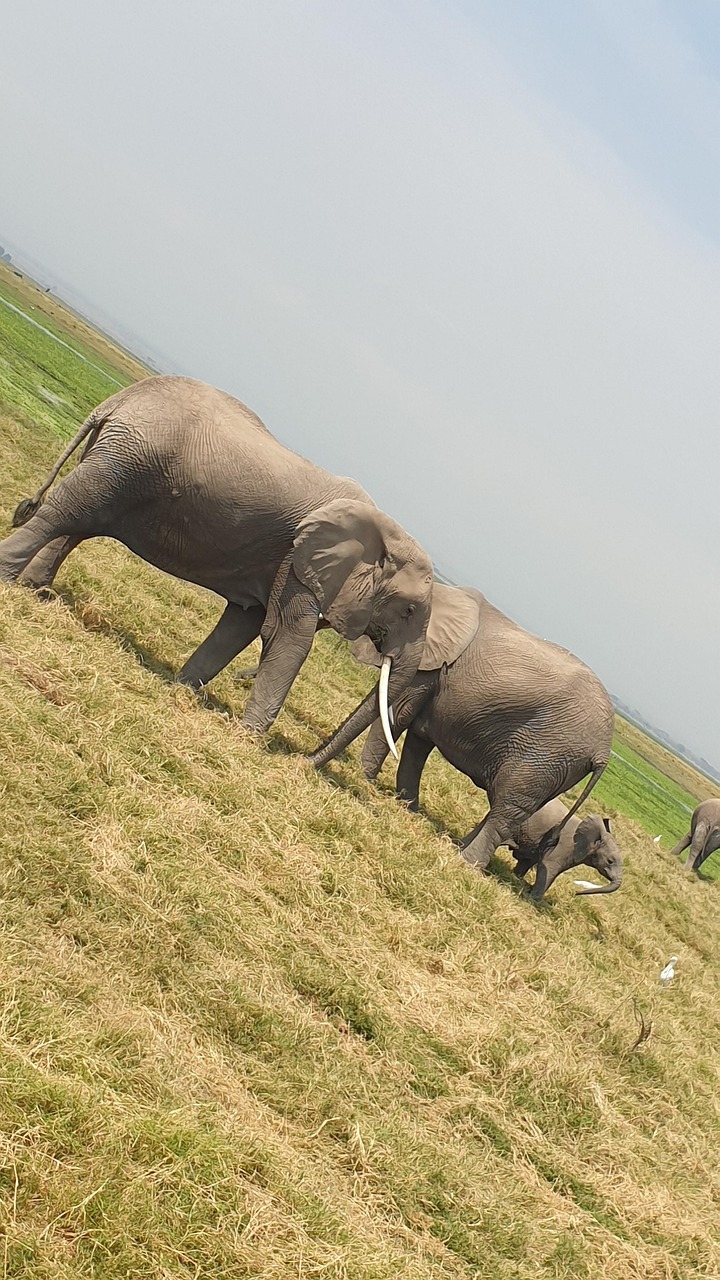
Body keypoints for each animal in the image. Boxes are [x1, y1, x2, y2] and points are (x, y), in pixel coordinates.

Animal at [0, 376, 476, 737]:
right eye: (409, 609)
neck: (390, 530)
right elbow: (288, 636)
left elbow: (244, 623)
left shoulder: (283, 562)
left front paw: (183, 691)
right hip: (128, 458)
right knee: (65, 509)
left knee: (84, 521)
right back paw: (9, 579)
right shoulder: (300, 562)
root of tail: (123, 397)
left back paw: (37, 592)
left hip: (123, 459)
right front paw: (248, 738)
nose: (306, 764)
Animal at [309, 584, 615, 872]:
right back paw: (454, 845)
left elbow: (397, 713)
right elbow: (417, 740)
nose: (309, 758)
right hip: (558, 767)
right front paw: (406, 807)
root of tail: (603, 752)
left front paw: (362, 776)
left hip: (547, 754)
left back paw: (465, 861)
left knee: (507, 808)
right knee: (511, 807)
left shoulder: (430, 663)